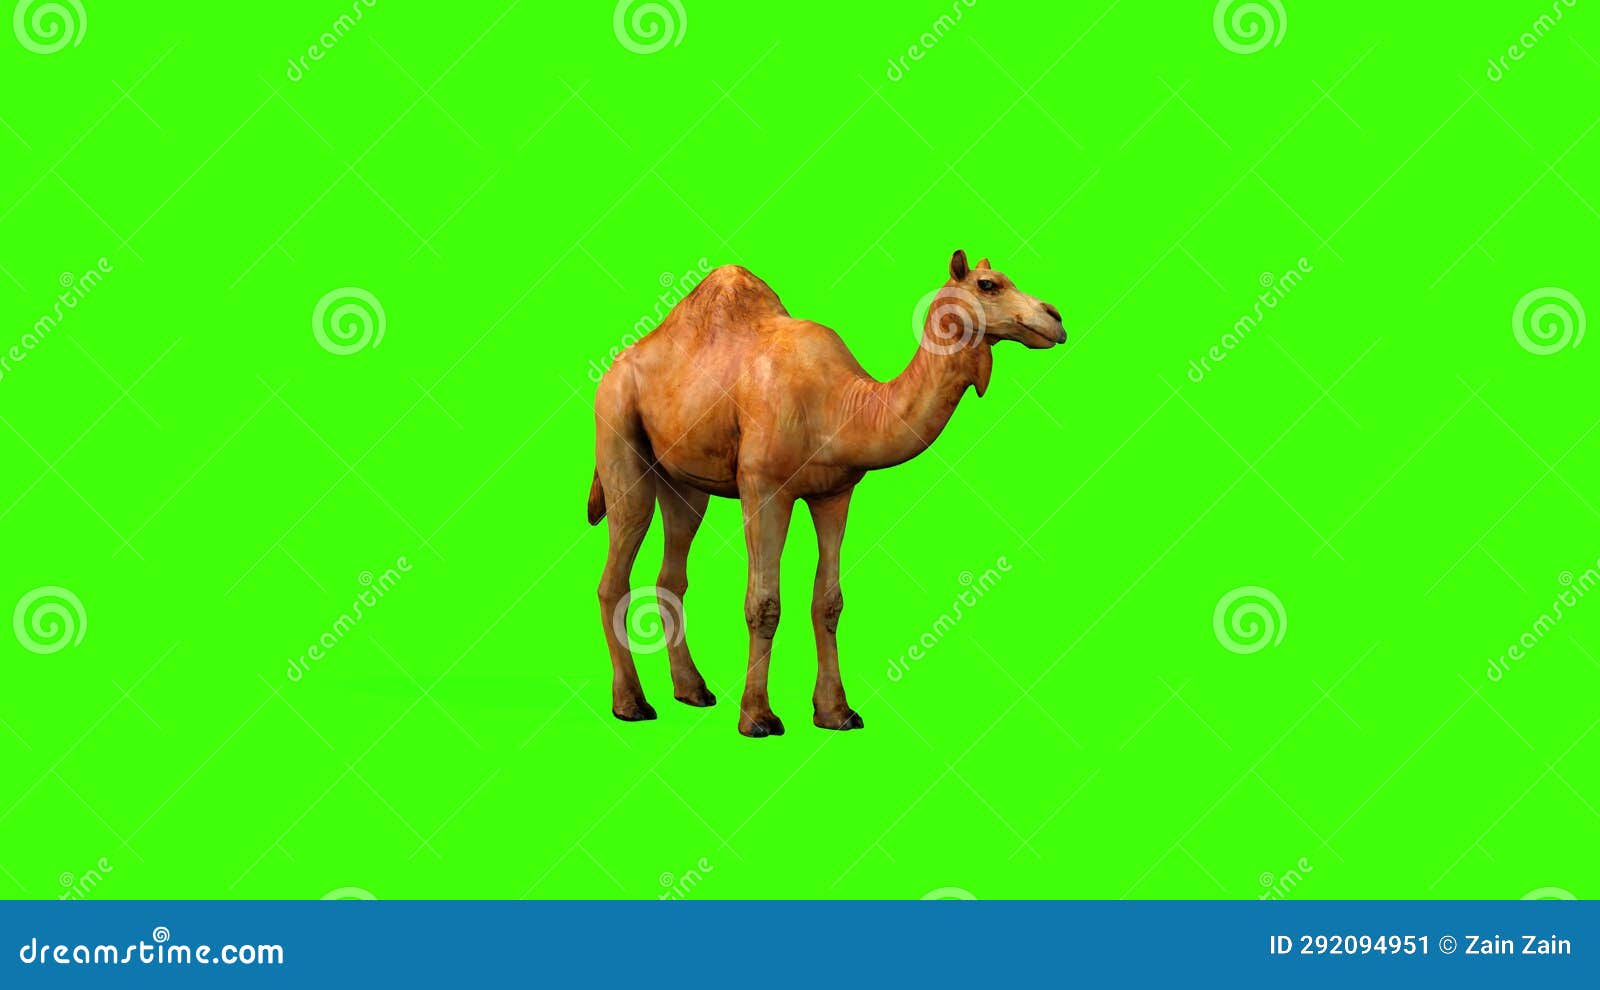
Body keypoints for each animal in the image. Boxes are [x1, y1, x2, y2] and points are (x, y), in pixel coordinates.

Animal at [589, 250, 1064, 737]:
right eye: (988, 285)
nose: (1055, 318)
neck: (843, 405)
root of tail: (613, 367)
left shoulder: (835, 494)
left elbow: (829, 602)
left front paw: (836, 712)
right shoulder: (763, 487)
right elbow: (763, 602)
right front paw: (758, 718)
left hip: (683, 481)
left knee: (672, 572)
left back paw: (693, 690)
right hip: (617, 428)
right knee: (616, 570)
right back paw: (631, 703)